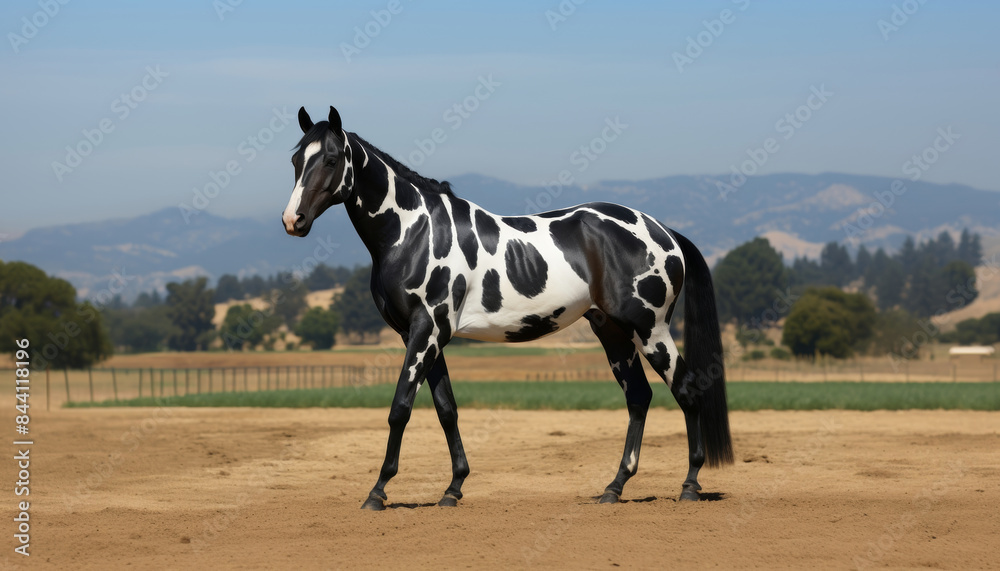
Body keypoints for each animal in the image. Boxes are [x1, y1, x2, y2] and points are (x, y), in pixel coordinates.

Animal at [281, 106, 733, 510]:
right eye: (296, 160)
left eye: (331, 158)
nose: (292, 220)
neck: (414, 232)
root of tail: (663, 230)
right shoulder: (429, 335)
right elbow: (447, 410)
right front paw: (453, 488)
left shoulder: (426, 331)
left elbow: (400, 409)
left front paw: (378, 492)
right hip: (612, 331)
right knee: (639, 398)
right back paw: (614, 487)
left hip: (650, 328)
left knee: (687, 389)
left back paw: (689, 485)